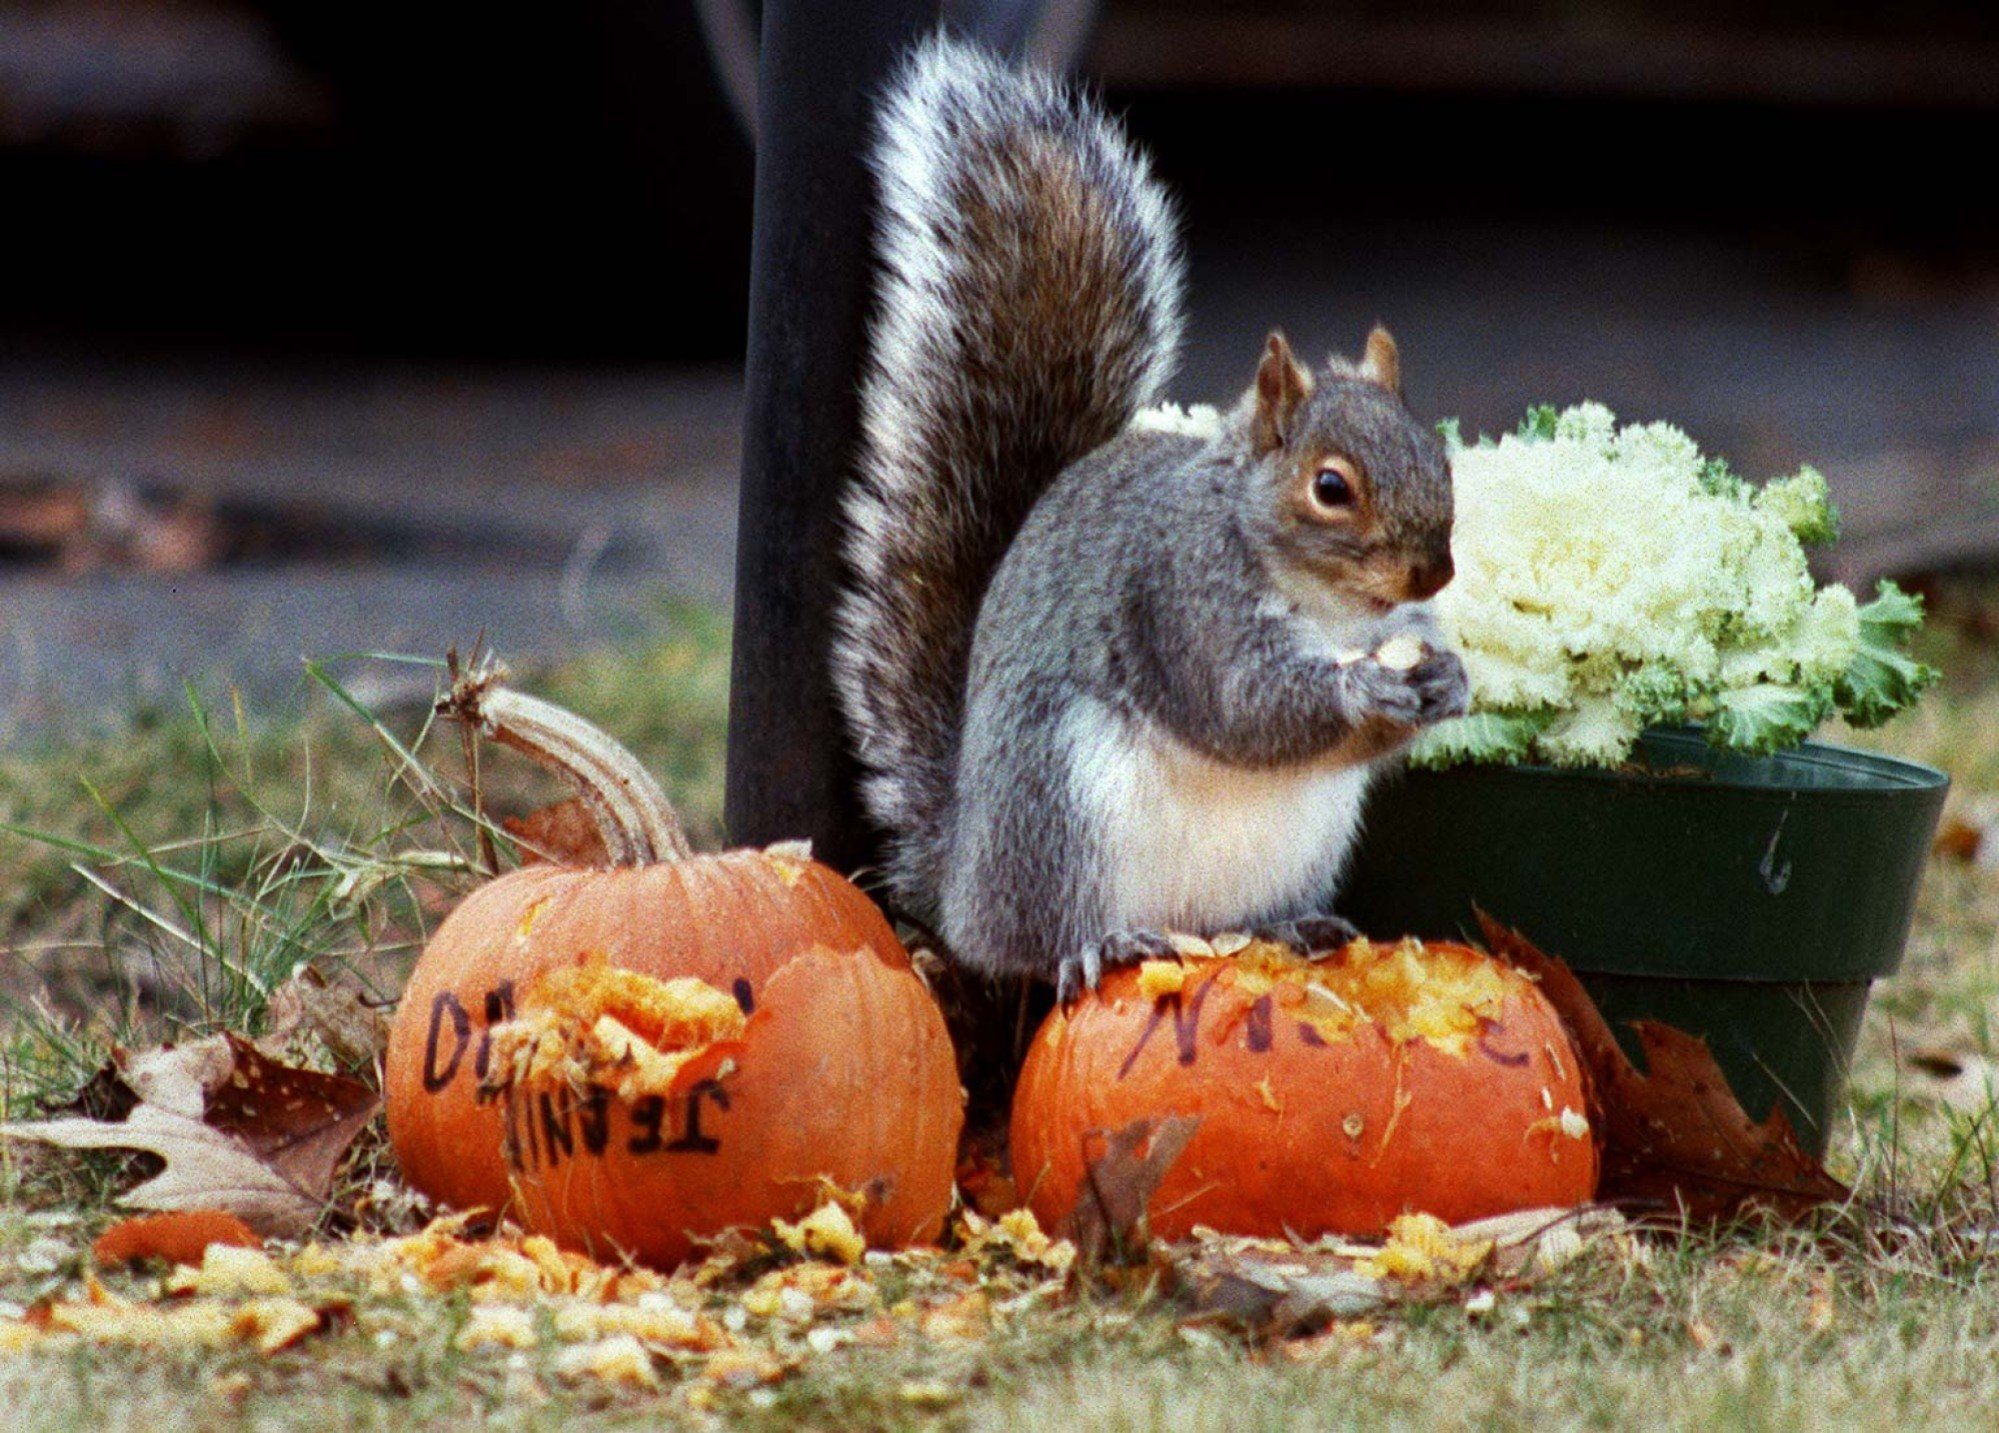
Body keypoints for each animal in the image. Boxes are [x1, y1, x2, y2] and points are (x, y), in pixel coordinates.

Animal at [833, 36, 1467, 998]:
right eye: (1330, 486)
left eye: (1438, 455)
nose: (1435, 572)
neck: (1332, 611)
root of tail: (962, 878)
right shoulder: (1180, 600)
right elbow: (1242, 704)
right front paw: (1357, 689)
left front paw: (1452, 680)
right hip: (1061, 815)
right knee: (1034, 943)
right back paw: (1102, 944)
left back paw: (1288, 927)